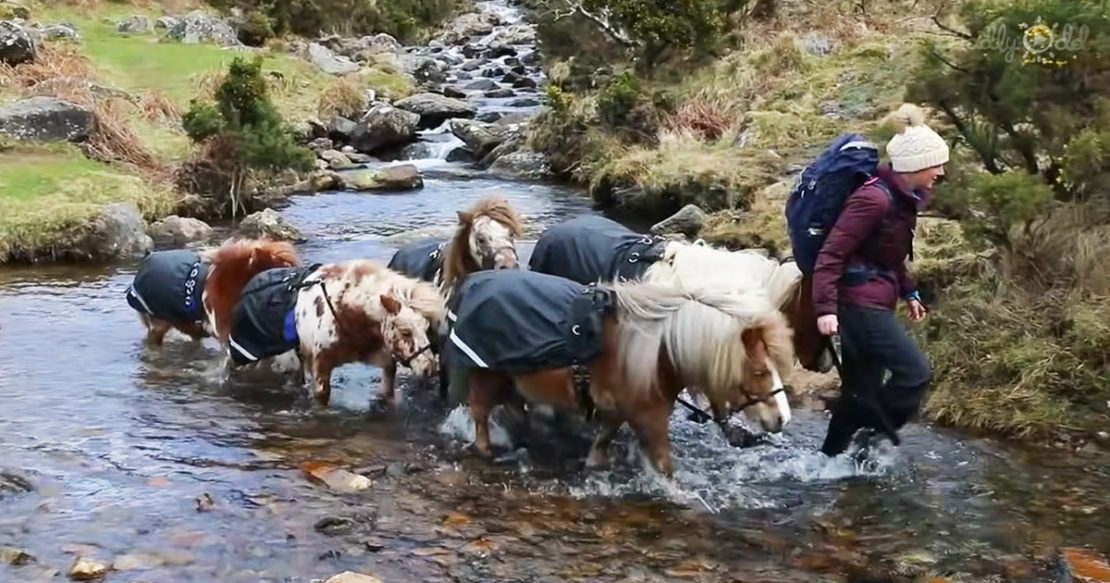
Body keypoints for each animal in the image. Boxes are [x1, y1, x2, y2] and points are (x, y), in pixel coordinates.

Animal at [224, 258, 446, 408]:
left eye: (426, 328)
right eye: (405, 331)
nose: (430, 368)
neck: (345, 308)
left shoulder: (374, 355)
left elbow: (388, 383)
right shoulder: (322, 365)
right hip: (246, 354)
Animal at [443, 269, 795, 477]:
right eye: (760, 370)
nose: (782, 419)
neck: (656, 355)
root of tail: (470, 285)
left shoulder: (616, 413)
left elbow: (601, 446)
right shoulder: (650, 421)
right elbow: (666, 469)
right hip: (487, 376)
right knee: (480, 414)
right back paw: (487, 451)